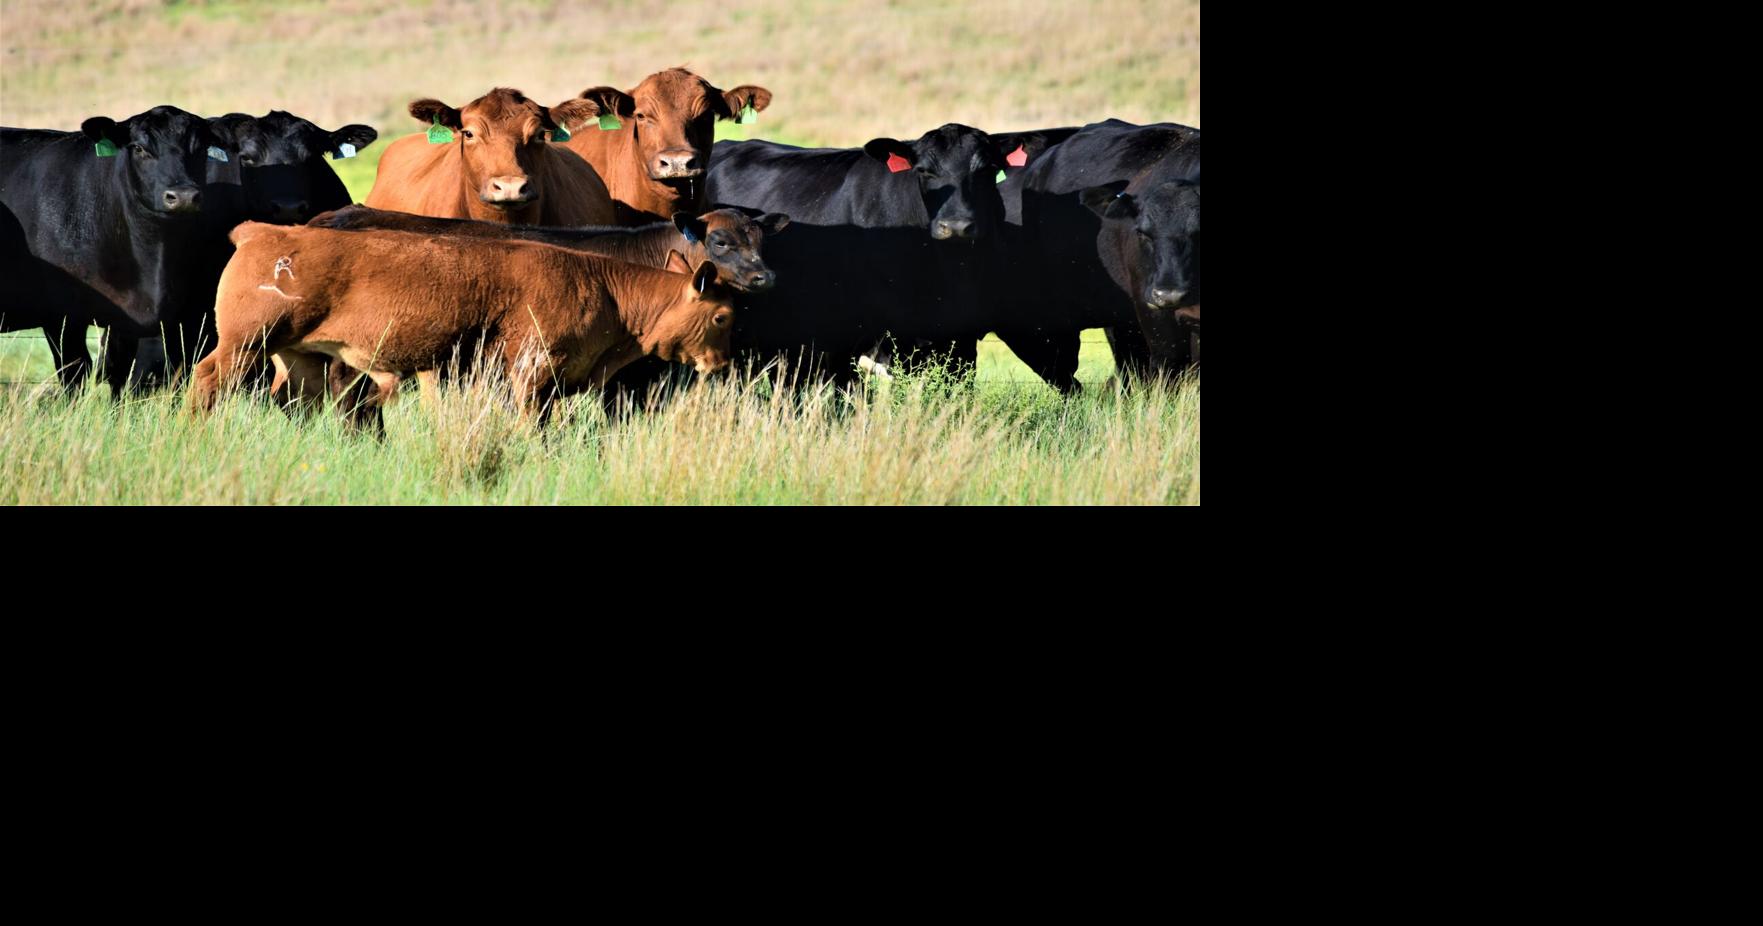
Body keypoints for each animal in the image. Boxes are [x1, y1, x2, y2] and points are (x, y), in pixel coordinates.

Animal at [0, 105, 234, 393]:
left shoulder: (125, 321)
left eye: (199, 148)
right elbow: (75, 374)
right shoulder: (61, 317)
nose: (183, 197)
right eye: (139, 148)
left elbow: (118, 375)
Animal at [191, 222, 736, 429]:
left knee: (296, 402)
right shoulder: (532, 374)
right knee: (208, 379)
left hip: (300, 358)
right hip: (243, 345)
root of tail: (262, 231)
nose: (723, 364)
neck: (603, 286)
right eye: (723, 315)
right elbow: (534, 425)